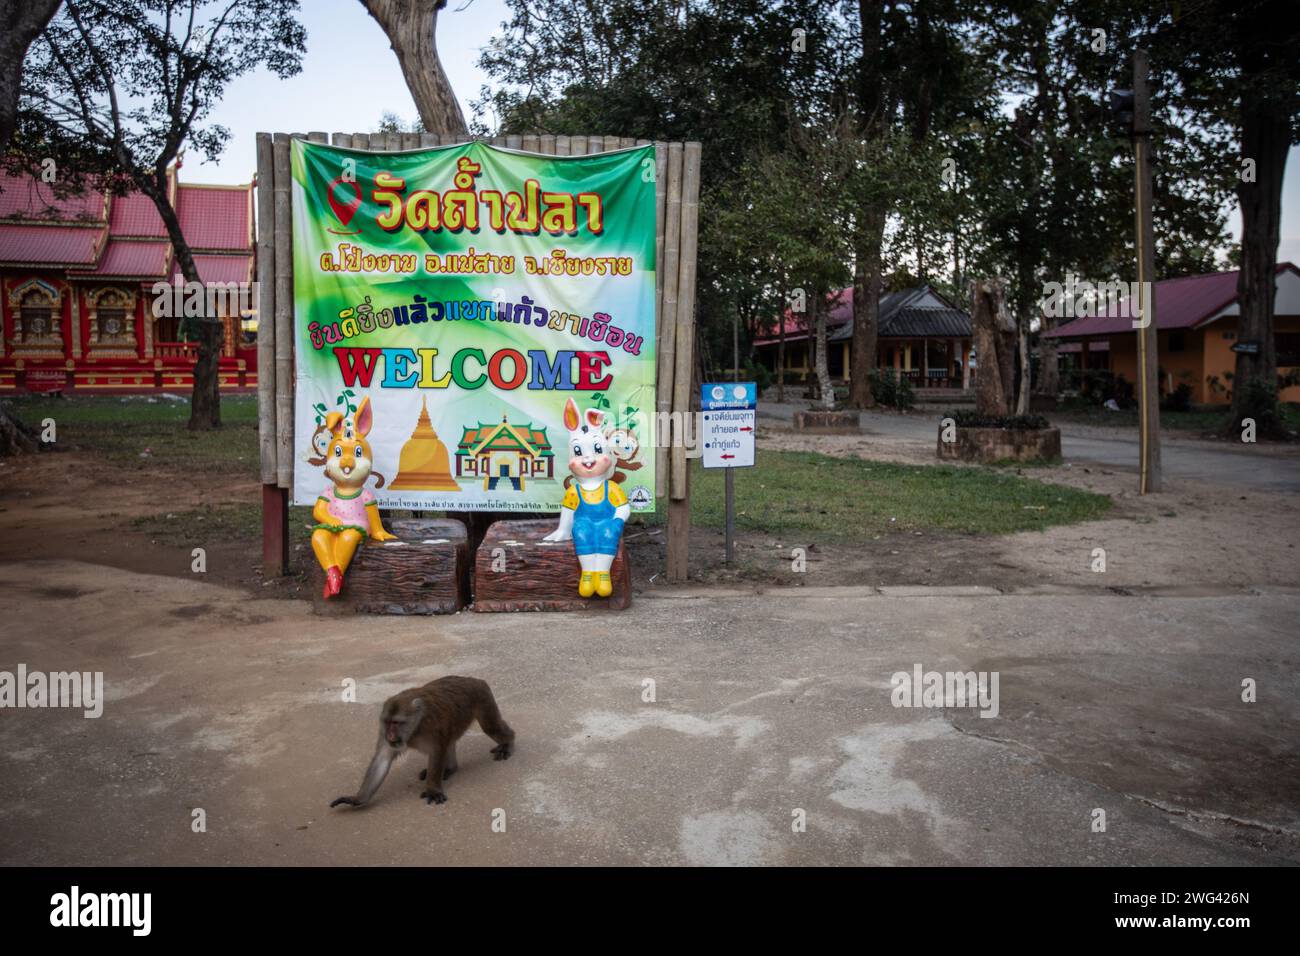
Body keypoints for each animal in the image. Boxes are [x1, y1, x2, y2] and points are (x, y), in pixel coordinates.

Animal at [329, 676, 515, 809]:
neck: (415, 727)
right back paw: (450, 769)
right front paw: (357, 798)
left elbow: (437, 752)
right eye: (387, 722)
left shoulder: (432, 726)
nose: (390, 736)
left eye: (396, 723)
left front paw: (432, 789)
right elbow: (382, 759)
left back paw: (508, 742)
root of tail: (475, 680)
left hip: (483, 698)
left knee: (490, 727)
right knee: (450, 740)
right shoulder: (383, 734)